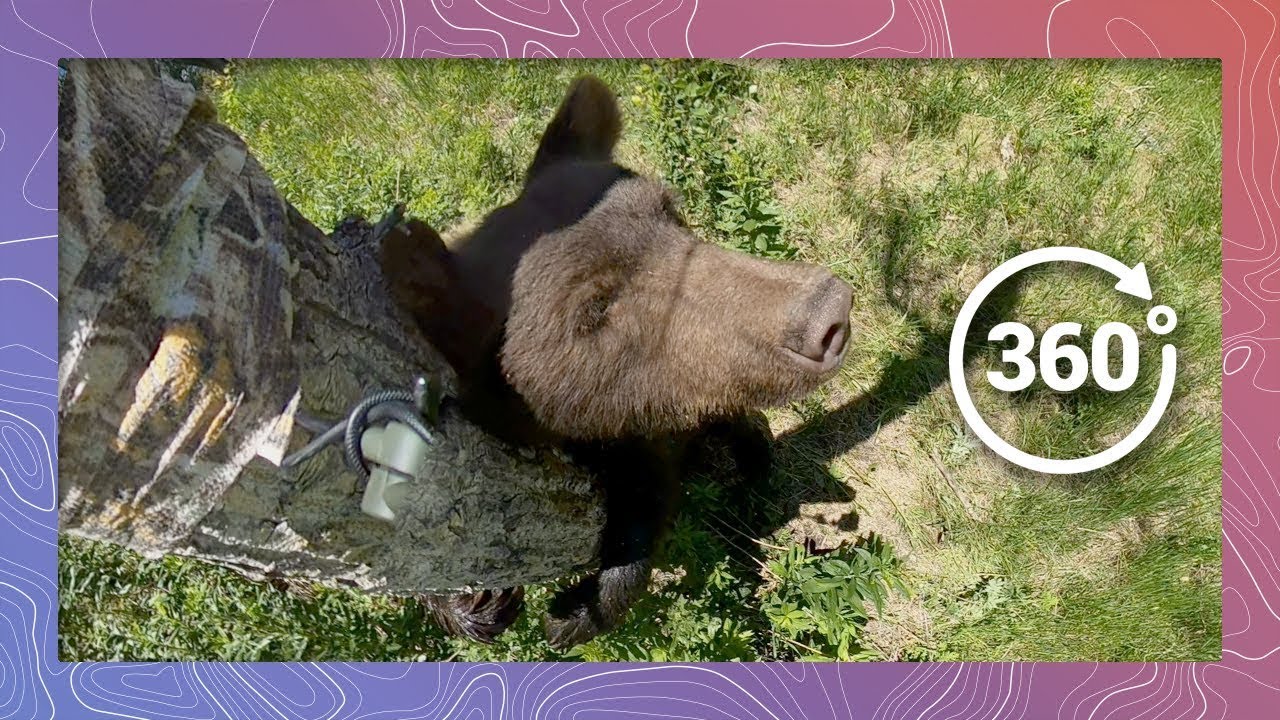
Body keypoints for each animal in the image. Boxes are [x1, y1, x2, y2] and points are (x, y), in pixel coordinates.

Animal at [380, 74, 853, 649]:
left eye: (670, 209)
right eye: (596, 307)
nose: (828, 310)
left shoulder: (632, 423)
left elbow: (647, 494)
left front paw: (578, 607)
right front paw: (473, 604)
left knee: (746, 437)